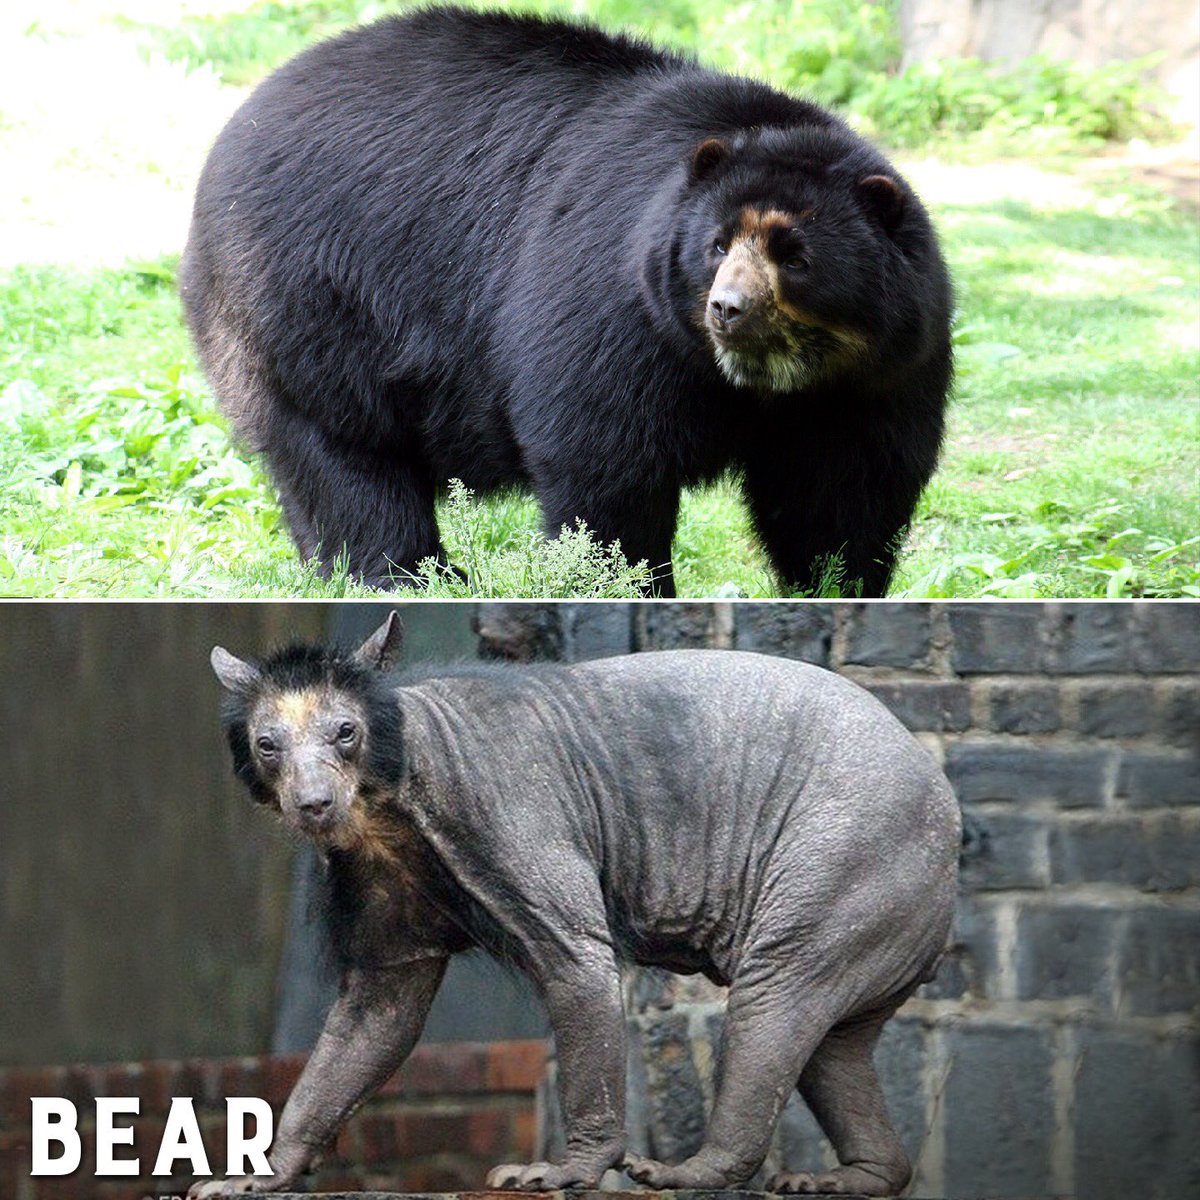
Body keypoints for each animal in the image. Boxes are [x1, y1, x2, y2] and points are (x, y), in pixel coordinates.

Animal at [181, 6, 953, 596]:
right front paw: (623, 584)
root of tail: (242, 117)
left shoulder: (877, 374)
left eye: (795, 256)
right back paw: (406, 573)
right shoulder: (618, 310)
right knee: (347, 452)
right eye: (715, 246)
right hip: (303, 301)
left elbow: (842, 494)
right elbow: (606, 460)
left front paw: (836, 585)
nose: (728, 309)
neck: (761, 382)